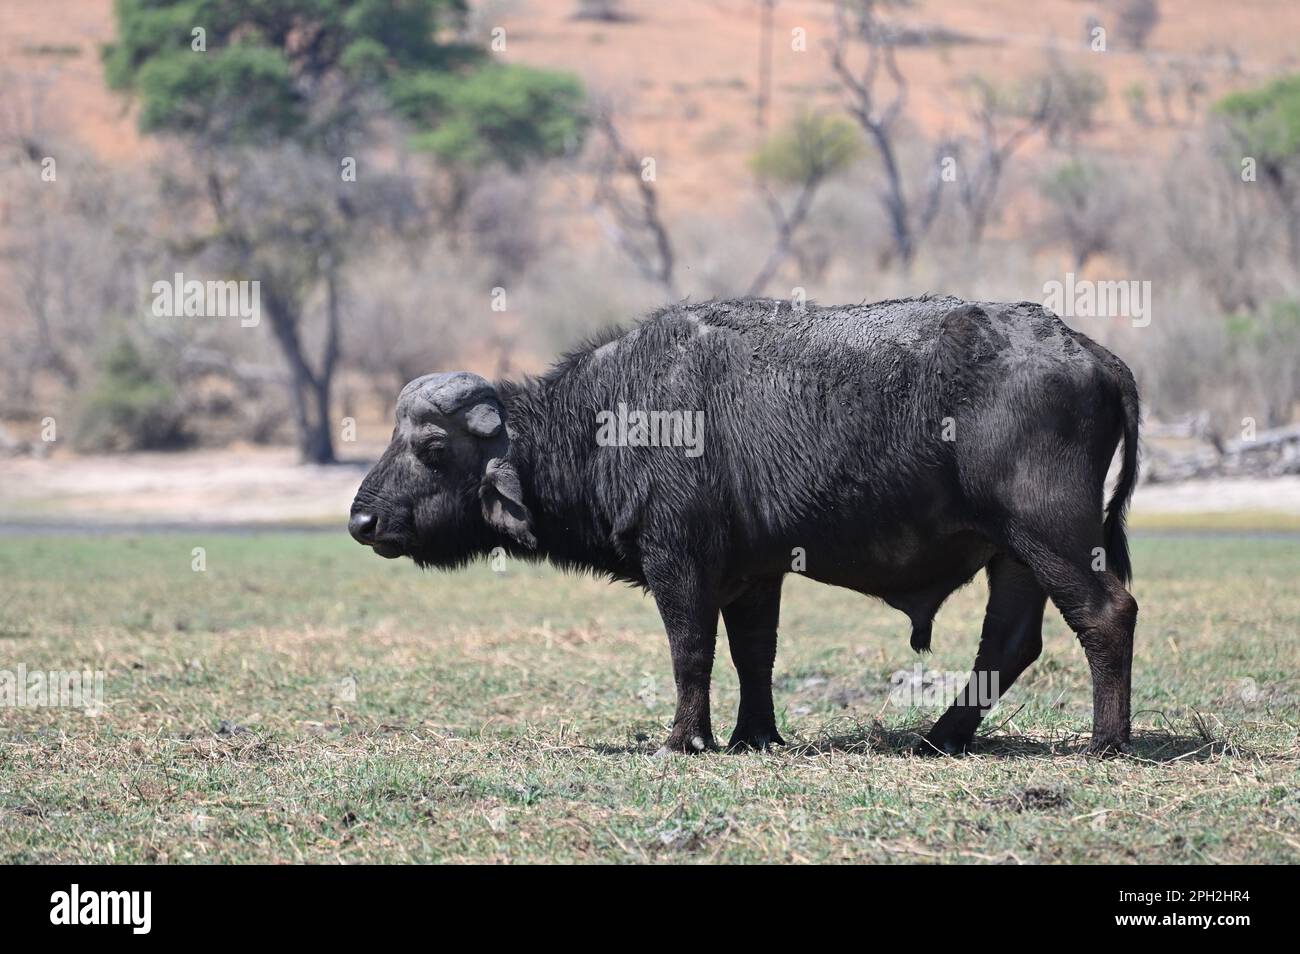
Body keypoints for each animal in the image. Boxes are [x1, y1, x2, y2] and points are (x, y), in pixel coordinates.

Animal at [350, 296, 1140, 755]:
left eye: (433, 448)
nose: (361, 518)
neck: (613, 415)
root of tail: (1089, 351)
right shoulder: (756, 574)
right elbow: (753, 654)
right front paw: (753, 734)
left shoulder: (680, 563)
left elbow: (691, 652)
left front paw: (684, 739)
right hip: (1013, 552)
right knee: (1010, 642)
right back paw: (941, 736)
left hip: (1052, 535)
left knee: (1108, 613)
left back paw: (1106, 740)